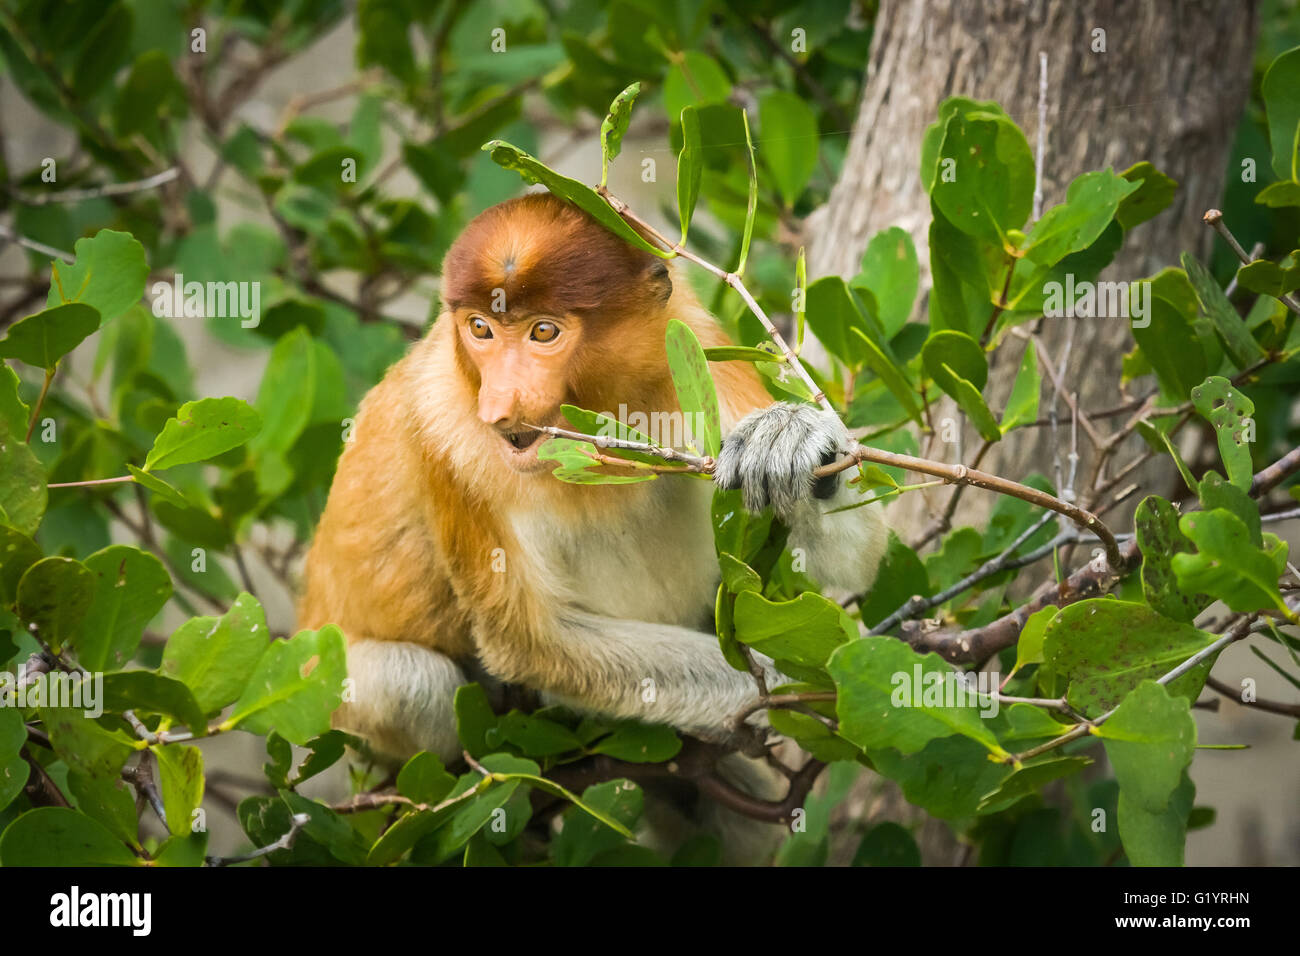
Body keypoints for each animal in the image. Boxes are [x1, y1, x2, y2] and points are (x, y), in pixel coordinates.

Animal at [297, 192, 886, 856]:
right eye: (480, 329)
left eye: (543, 331)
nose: (499, 405)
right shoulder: (443, 438)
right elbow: (534, 642)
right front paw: (827, 688)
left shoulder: (694, 345)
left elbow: (852, 561)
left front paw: (790, 438)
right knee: (410, 681)